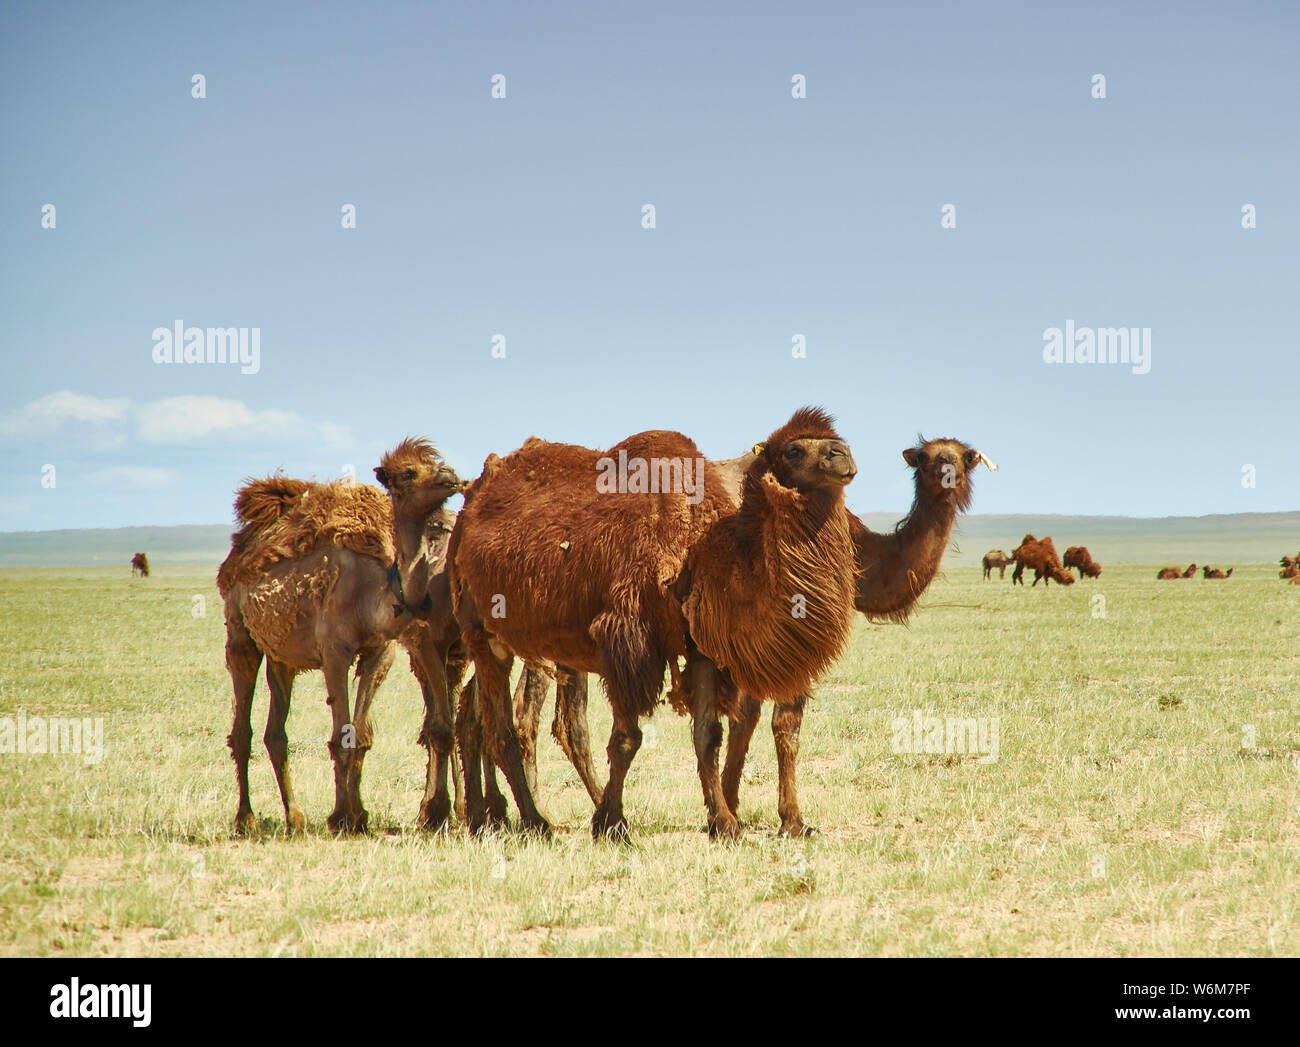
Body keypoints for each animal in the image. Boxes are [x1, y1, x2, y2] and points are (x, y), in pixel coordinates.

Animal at [218, 467, 464, 835]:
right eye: (410, 474)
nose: (451, 477)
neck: (371, 591)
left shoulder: (379, 652)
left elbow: (359, 734)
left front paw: (358, 816)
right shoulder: (334, 654)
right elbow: (341, 736)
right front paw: (341, 816)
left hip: (282, 655)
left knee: (275, 733)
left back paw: (295, 817)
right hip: (240, 635)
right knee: (242, 729)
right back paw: (245, 818)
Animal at [444, 407, 858, 841]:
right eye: (794, 449)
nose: (842, 454)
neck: (700, 552)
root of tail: (470, 503)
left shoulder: (700, 648)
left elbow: (707, 735)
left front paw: (724, 823)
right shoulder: (628, 642)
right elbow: (627, 740)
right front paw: (611, 822)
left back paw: (486, 818)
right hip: (481, 631)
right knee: (502, 730)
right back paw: (533, 820)